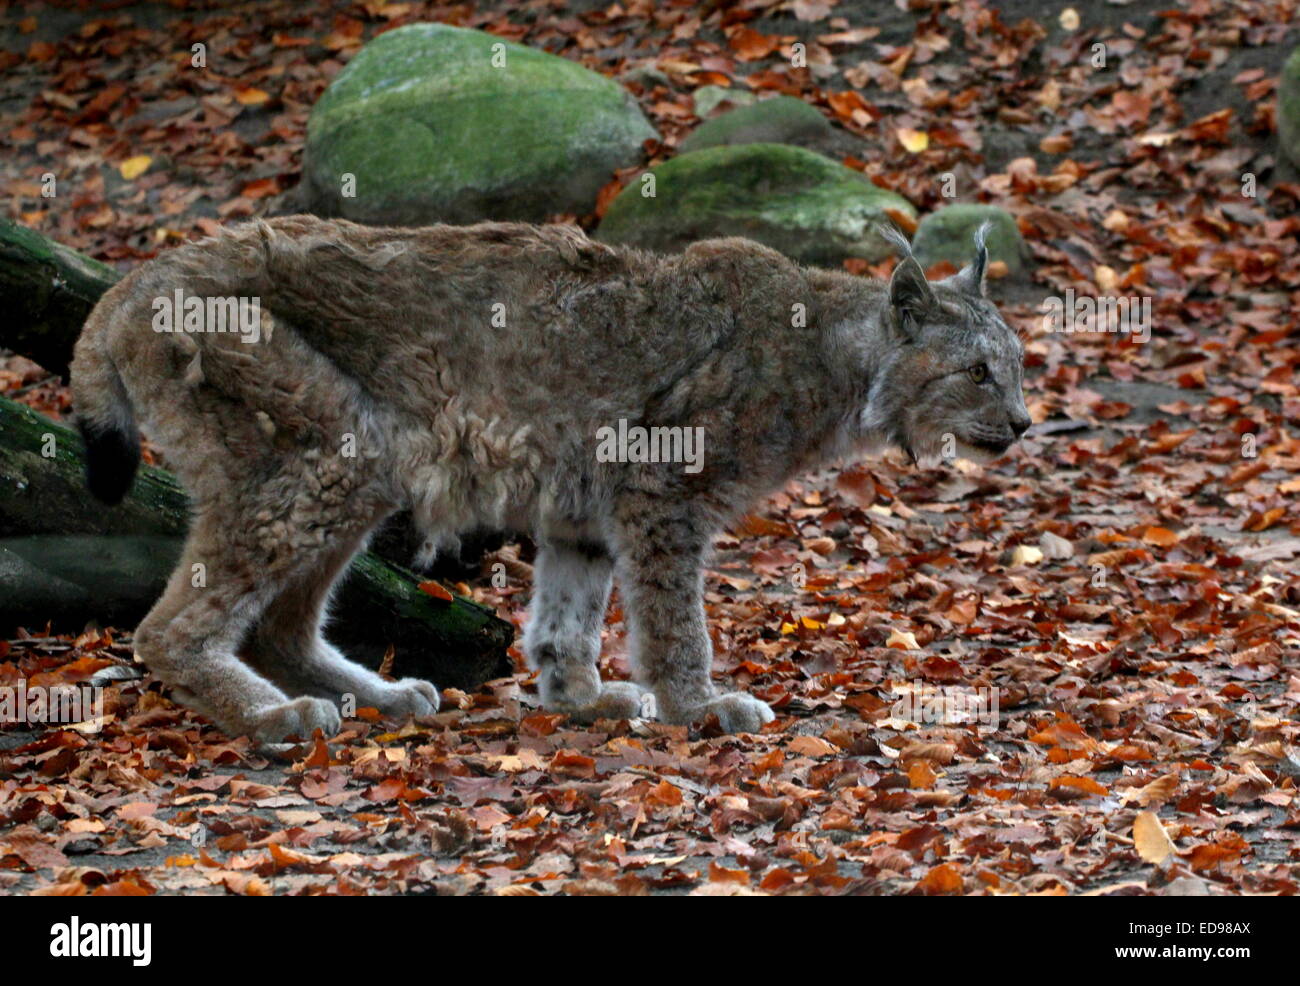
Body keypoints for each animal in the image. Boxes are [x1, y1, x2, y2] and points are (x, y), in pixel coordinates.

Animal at [70, 216, 1029, 742]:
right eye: (978, 373)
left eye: (1015, 367)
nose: (1023, 425)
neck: (843, 367)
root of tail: (136, 277)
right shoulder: (662, 490)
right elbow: (675, 621)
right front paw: (696, 706)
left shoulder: (592, 504)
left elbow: (569, 613)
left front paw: (579, 698)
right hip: (327, 452)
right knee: (165, 628)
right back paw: (271, 719)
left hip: (358, 463)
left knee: (277, 620)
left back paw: (372, 695)